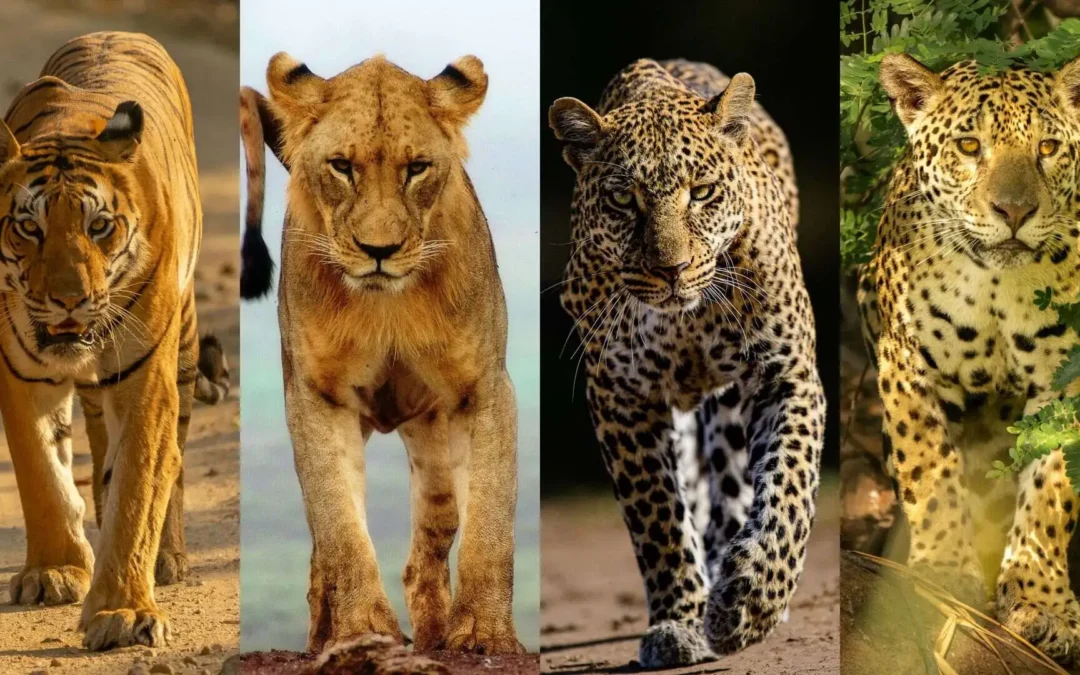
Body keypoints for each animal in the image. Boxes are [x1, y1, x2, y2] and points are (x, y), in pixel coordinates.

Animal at [0, 31, 223, 650]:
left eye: (99, 227)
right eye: (29, 228)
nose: (69, 300)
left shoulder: (146, 380)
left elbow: (139, 485)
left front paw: (123, 611)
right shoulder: (20, 373)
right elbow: (41, 472)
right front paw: (54, 570)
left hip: (184, 347)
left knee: (175, 451)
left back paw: (167, 558)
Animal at [239, 53, 524, 654]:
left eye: (416, 168)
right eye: (341, 166)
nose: (379, 251)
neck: (388, 306)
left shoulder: (486, 390)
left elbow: (491, 522)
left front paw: (484, 635)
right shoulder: (317, 396)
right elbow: (341, 527)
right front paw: (363, 632)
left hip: (433, 442)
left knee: (431, 542)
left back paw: (435, 636)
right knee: (321, 555)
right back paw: (323, 638)